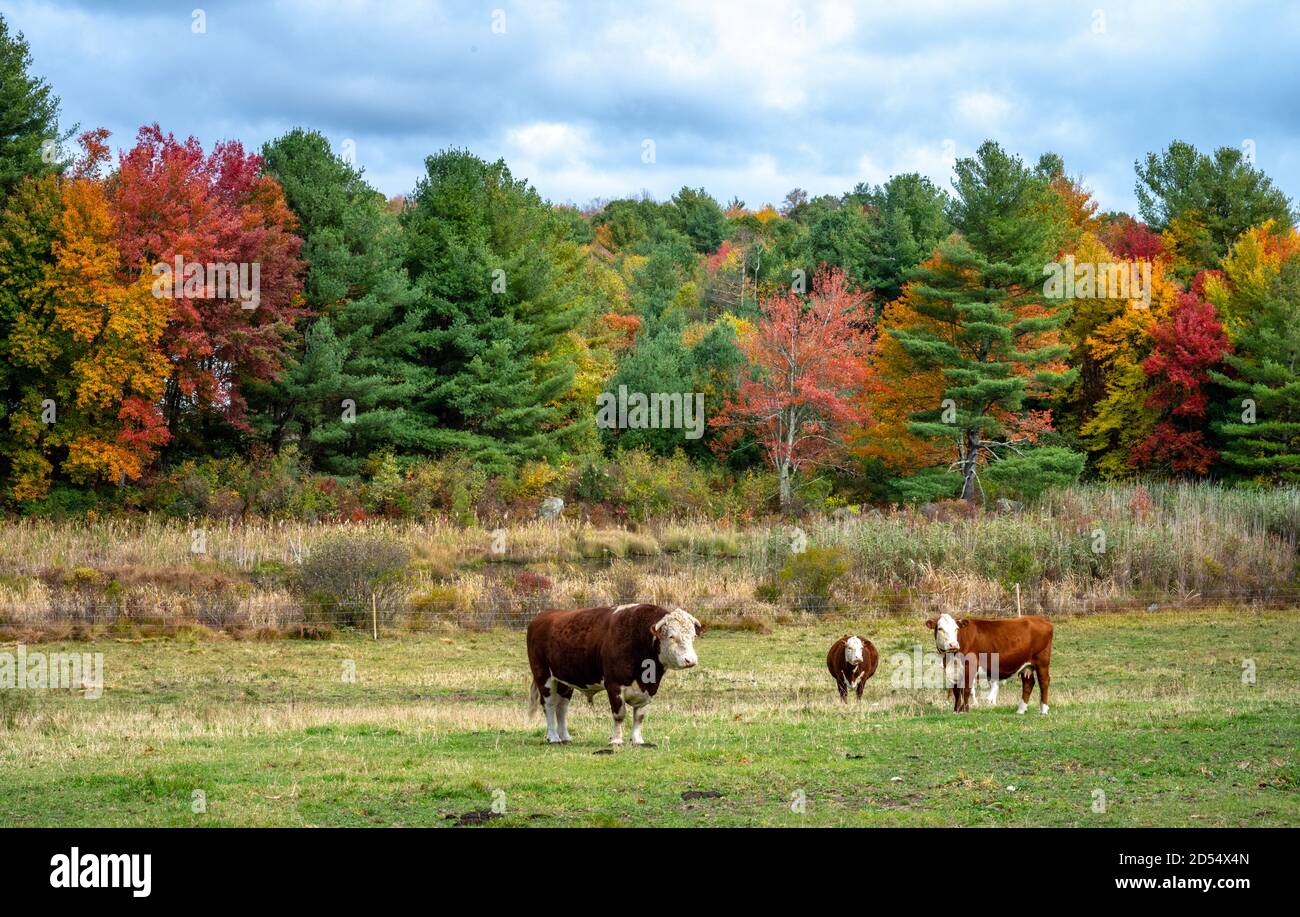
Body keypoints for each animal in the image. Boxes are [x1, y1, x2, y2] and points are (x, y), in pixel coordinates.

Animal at [526, 603, 702, 746]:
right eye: (671, 636)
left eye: (693, 636)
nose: (691, 660)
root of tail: (541, 616)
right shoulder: (614, 685)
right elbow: (619, 714)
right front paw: (616, 740)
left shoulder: (649, 688)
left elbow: (639, 716)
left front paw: (637, 740)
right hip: (544, 677)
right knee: (549, 705)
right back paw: (553, 737)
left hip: (565, 681)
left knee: (562, 707)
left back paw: (565, 737)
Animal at [924, 613, 1054, 714]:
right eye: (940, 628)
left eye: (956, 628)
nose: (953, 645)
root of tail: (1042, 619)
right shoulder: (953, 670)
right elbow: (956, 691)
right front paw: (956, 710)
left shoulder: (970, 666)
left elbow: (966, 690)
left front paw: (964, 710)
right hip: (1026, 665)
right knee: (1028, 683)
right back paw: (1020, 710)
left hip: (1042, 661)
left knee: (1043, 682)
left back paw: (1044, 710)